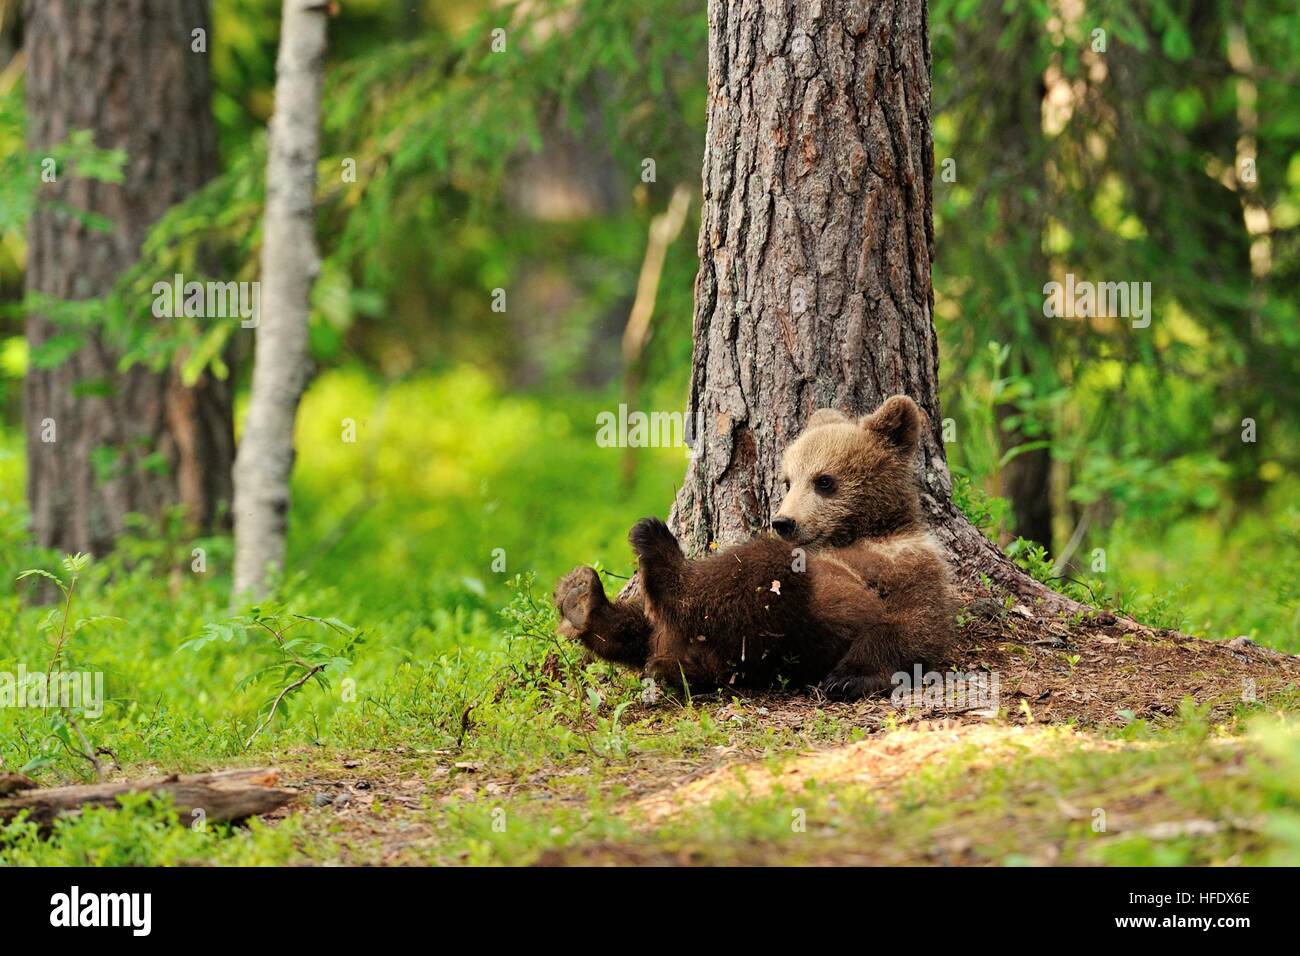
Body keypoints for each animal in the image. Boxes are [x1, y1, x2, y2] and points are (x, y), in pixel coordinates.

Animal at [553, 394, 958, 701]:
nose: (783, 522)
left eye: (824, 480)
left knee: (761, 570)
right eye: (788, 480)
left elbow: (913, 625)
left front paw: (847, 678)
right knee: (653, 622)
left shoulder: (906, 561)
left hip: (797, 634)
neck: (859, 531)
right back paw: (584, 600)